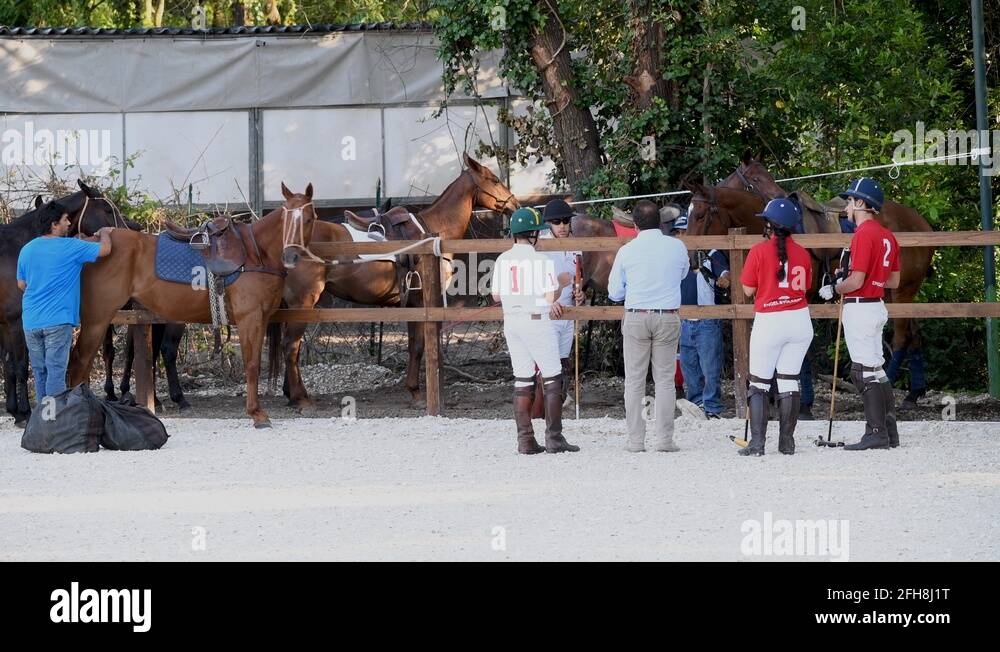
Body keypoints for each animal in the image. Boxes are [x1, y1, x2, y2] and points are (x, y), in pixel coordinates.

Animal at [68, 182, 317, 428]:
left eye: (309, 219)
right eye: (286, 217)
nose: (291, 256)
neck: (255, 254)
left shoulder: (261, 318)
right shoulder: (250, 318)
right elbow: (252, 364)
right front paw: (257, 413)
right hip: (98, 318)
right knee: (80, 362)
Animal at [280, 154, 518, 408]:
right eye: (494, 180)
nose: (515, 204)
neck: (433, 232)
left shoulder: (413, 304)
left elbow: (414, 346)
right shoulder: (422, 302)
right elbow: (418, 347)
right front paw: (415, 391)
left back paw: (294, 393)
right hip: (303, 302)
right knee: (291, 347)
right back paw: (300, 399)